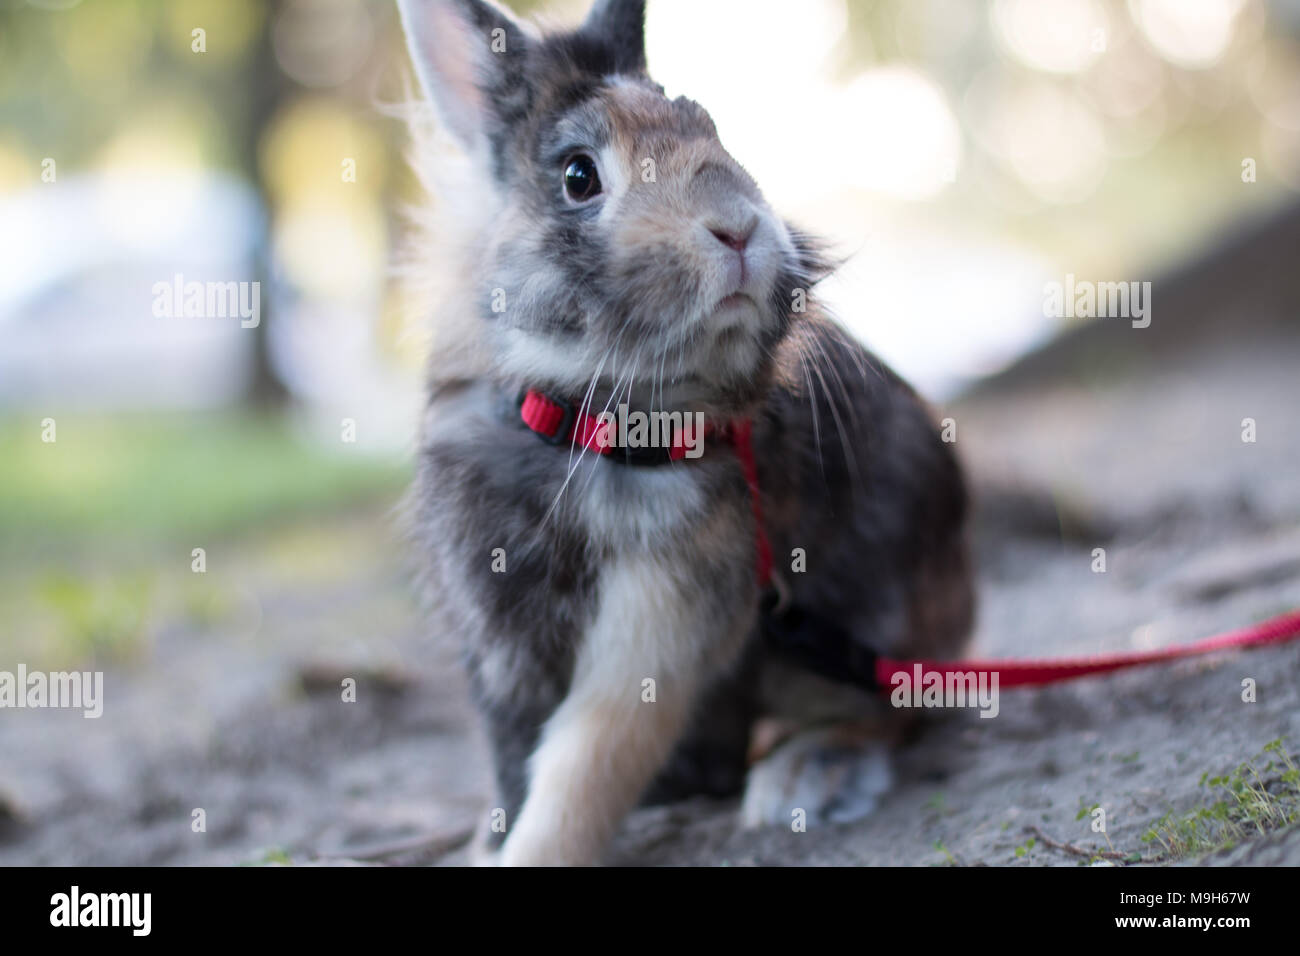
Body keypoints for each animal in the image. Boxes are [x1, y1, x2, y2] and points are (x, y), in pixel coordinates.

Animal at [396, 0, 974, 866]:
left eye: (713, 131)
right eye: (579, 175)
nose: (736, 229)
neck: (586, 420)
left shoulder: (658, 627)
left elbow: (581, 775)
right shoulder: (498, 652)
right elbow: (514, 772)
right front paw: (487, 844)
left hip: (858, 631)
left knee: (889, 712)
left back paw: (806, 780)